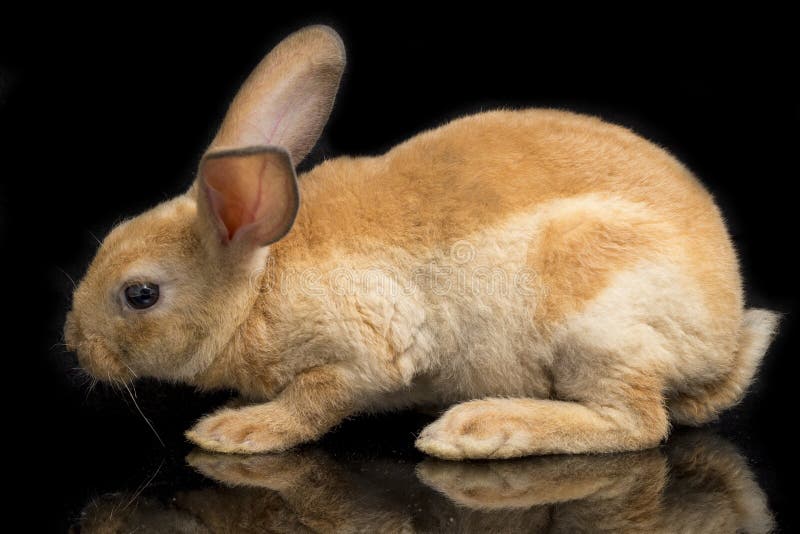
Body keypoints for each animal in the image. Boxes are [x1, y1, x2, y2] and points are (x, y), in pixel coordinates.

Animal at [64, 24, 780, 459]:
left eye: (141, 294)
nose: (74, 346)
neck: (257, 283)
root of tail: (723, 337)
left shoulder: (362, 355)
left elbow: (316, 401)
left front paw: (238, 429)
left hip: (599, 324)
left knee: (637, 423)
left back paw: (480, 429)